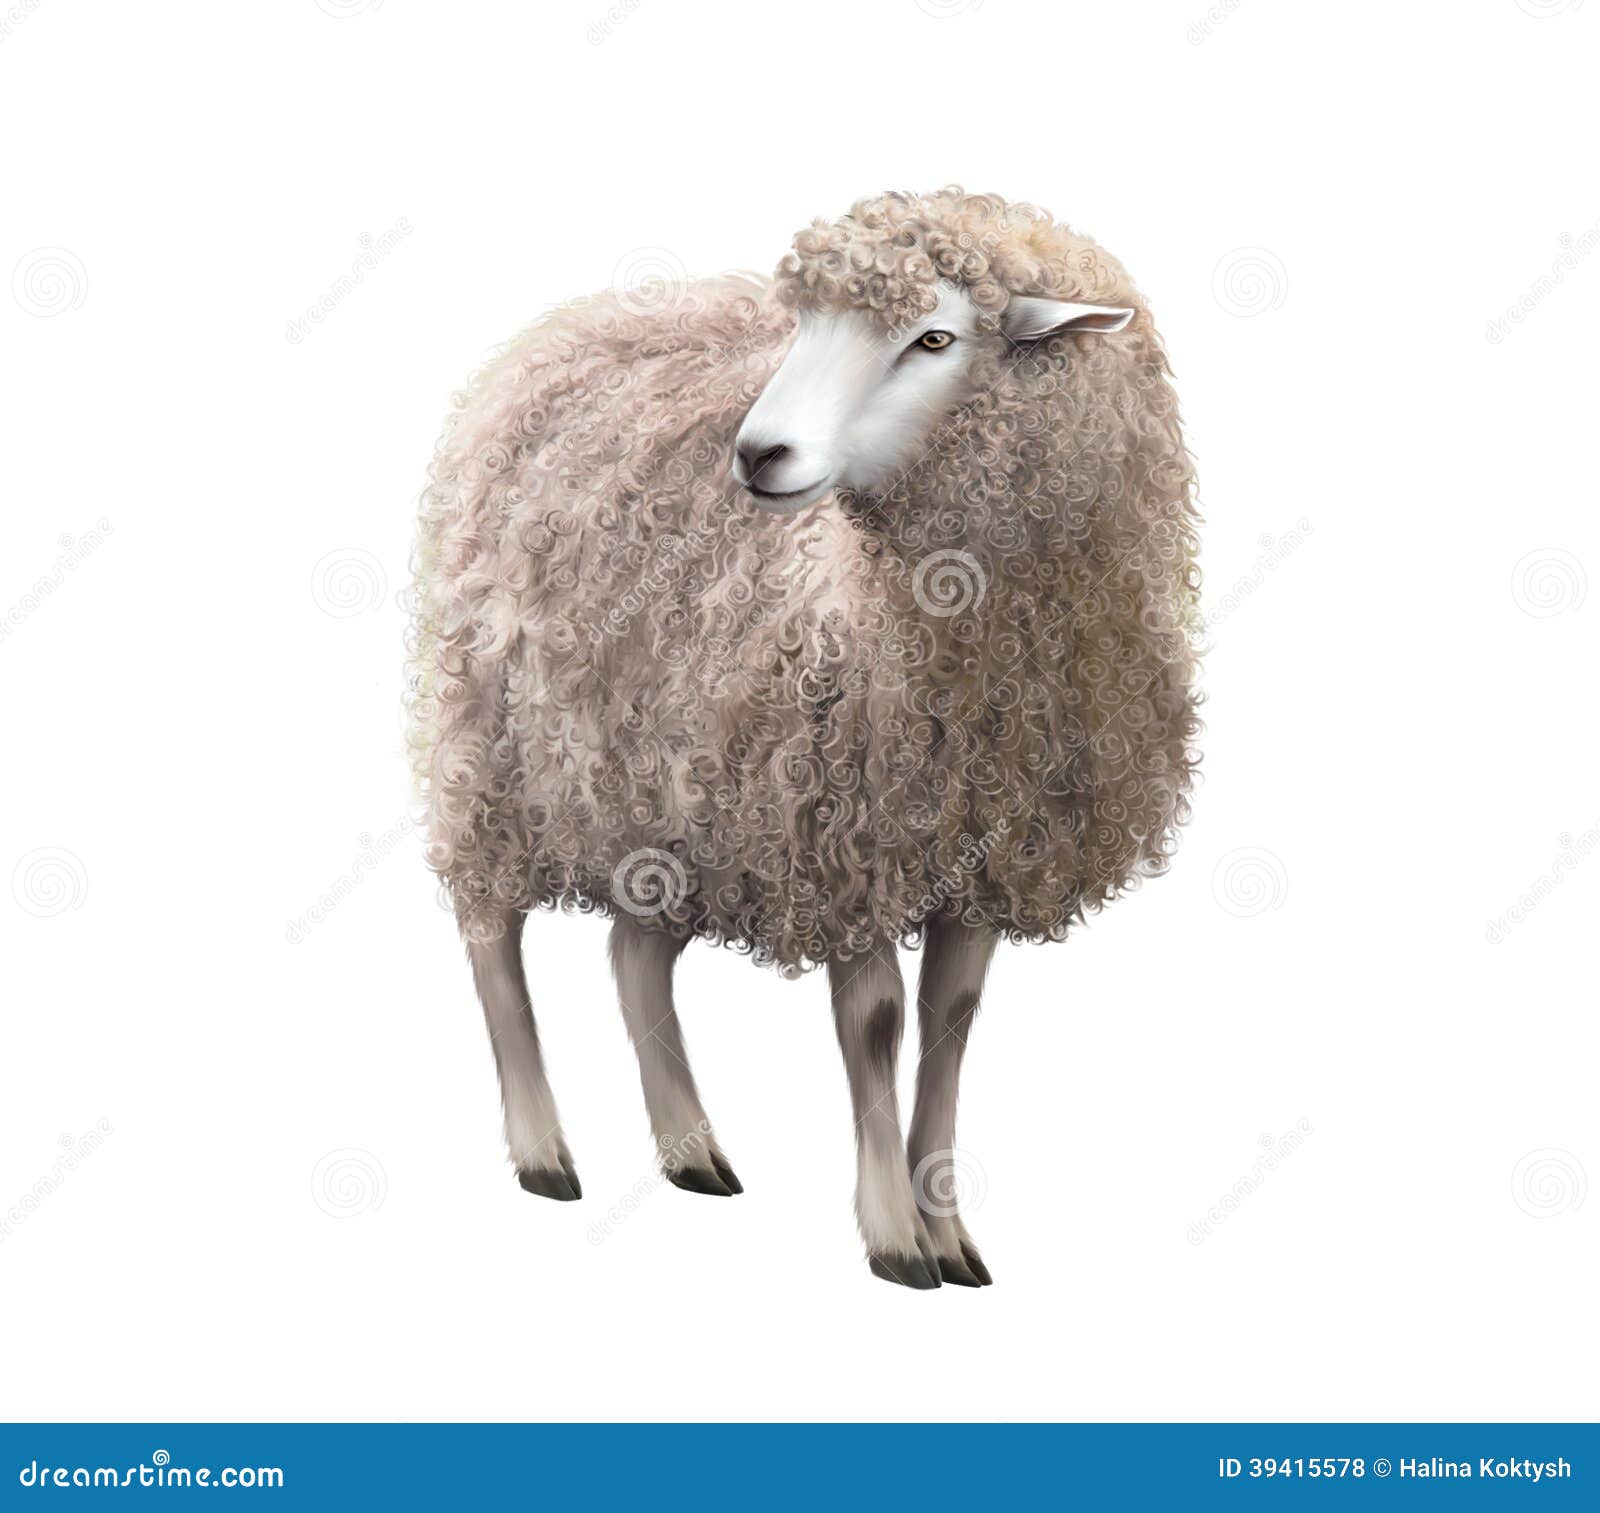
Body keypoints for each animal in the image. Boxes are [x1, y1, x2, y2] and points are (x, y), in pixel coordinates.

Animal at [407, 188, 1200, 1288]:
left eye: (935, 337)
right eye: (805, 326)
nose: (755, 454)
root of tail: (562, 330)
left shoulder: (987, 844)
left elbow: (951, 1021)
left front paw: (948, 1228)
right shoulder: (845, 833)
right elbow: (876, 1024)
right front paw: (895, 1237)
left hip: (676, 783)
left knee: (634, 955)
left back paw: (690, 1149)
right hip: (498, 747)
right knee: (491, 933)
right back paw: (541, 1151)